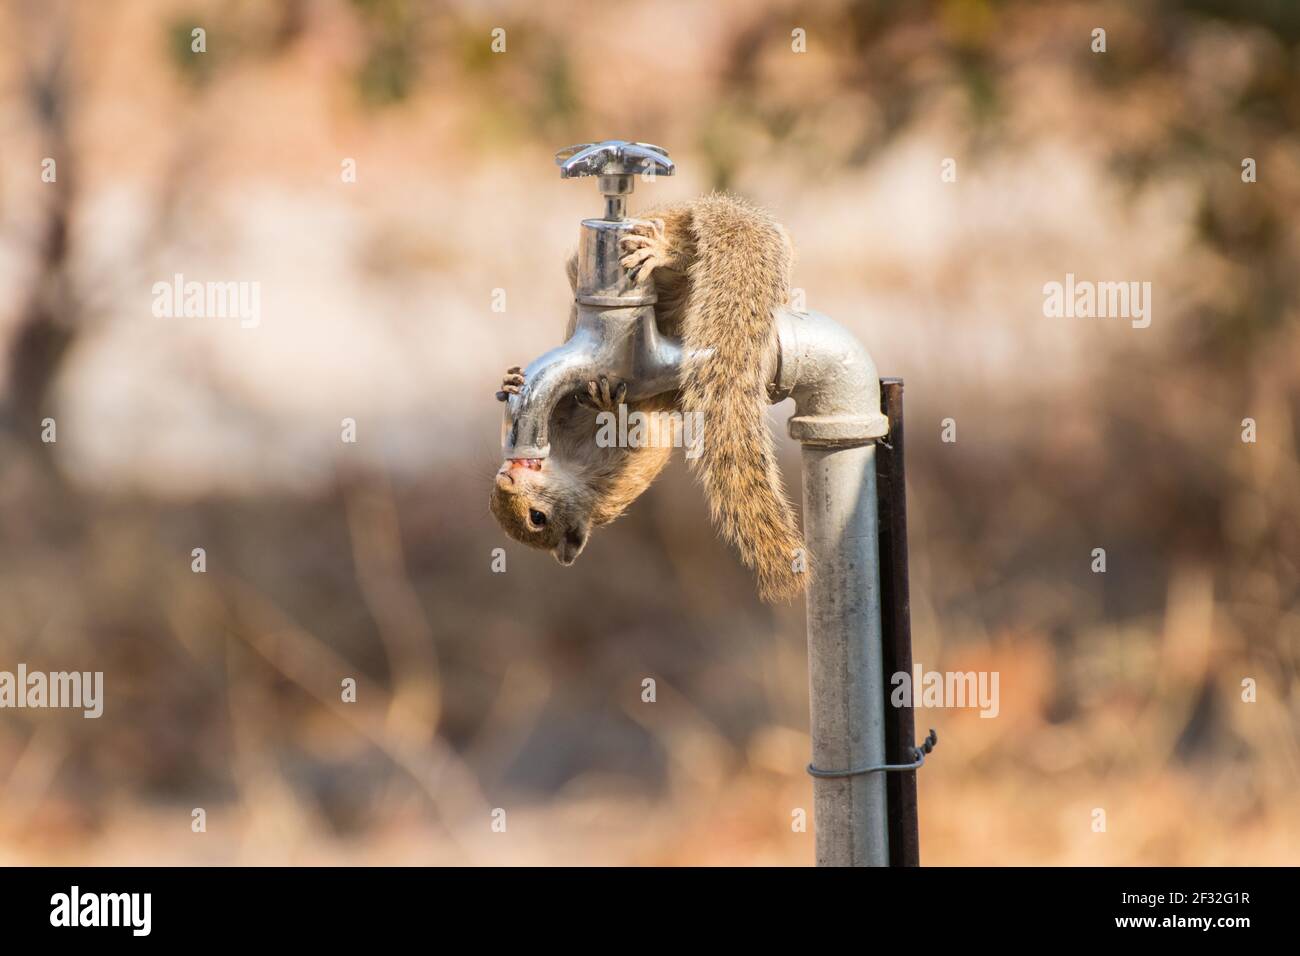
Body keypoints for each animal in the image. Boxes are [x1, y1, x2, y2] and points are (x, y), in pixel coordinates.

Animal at [490, 193, 806, 603]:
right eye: (494, 505)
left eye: (537, 518)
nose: (506, 476)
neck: (568, 464)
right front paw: (511, 381)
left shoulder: (615, 475)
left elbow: (632, 431)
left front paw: (609, 405)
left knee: (680, 256)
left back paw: (662, 250)